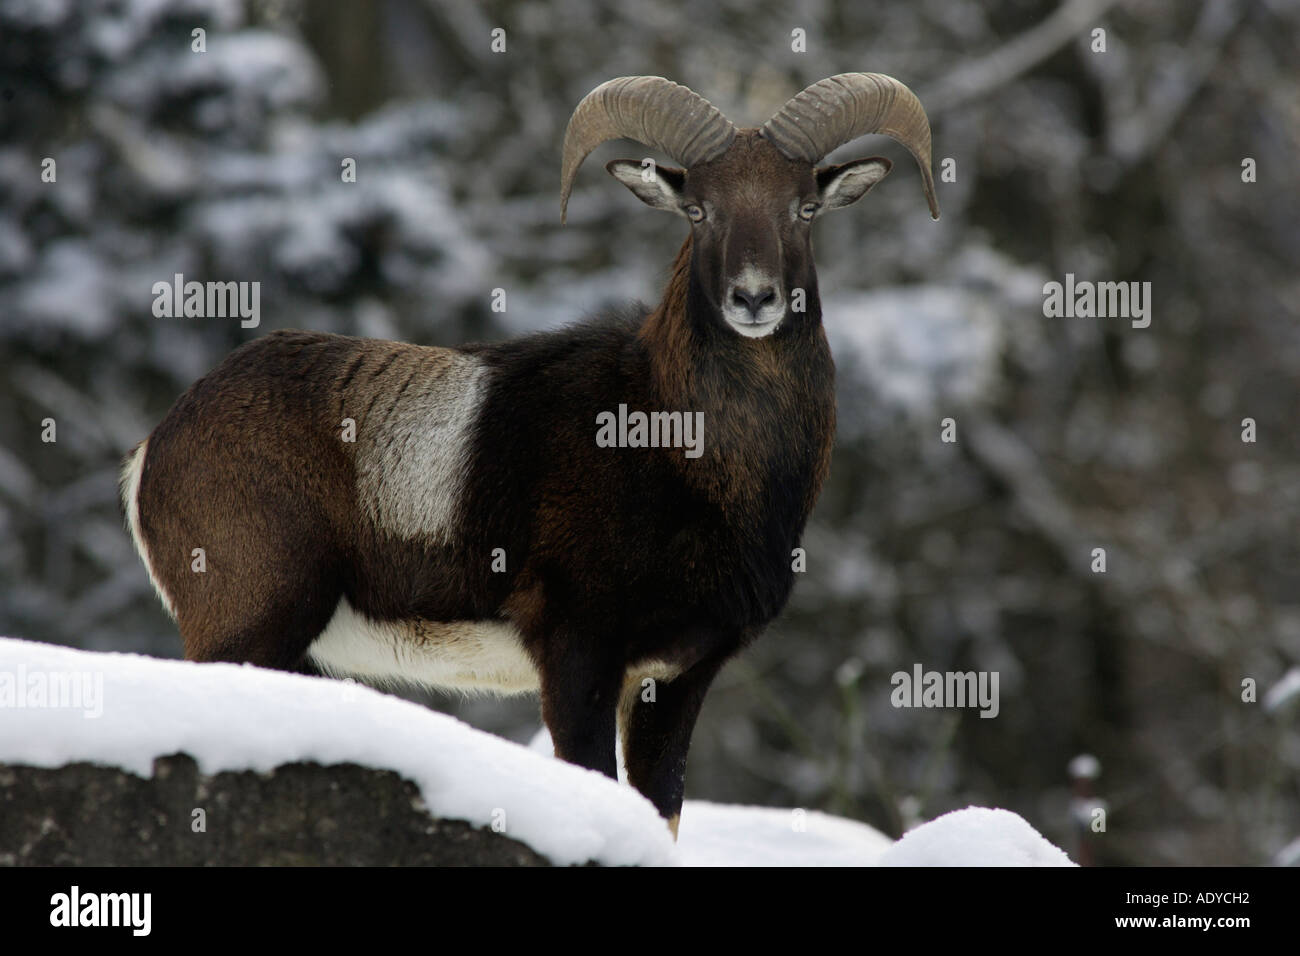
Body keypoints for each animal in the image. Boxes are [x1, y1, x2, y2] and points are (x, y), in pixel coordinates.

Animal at [121, 73, 939, 834]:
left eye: (804, 208)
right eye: (698, 210)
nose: (754, 299)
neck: (686, 458)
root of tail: (153, 451)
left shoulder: (676, 682)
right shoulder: (578, 656)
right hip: (252, 625)